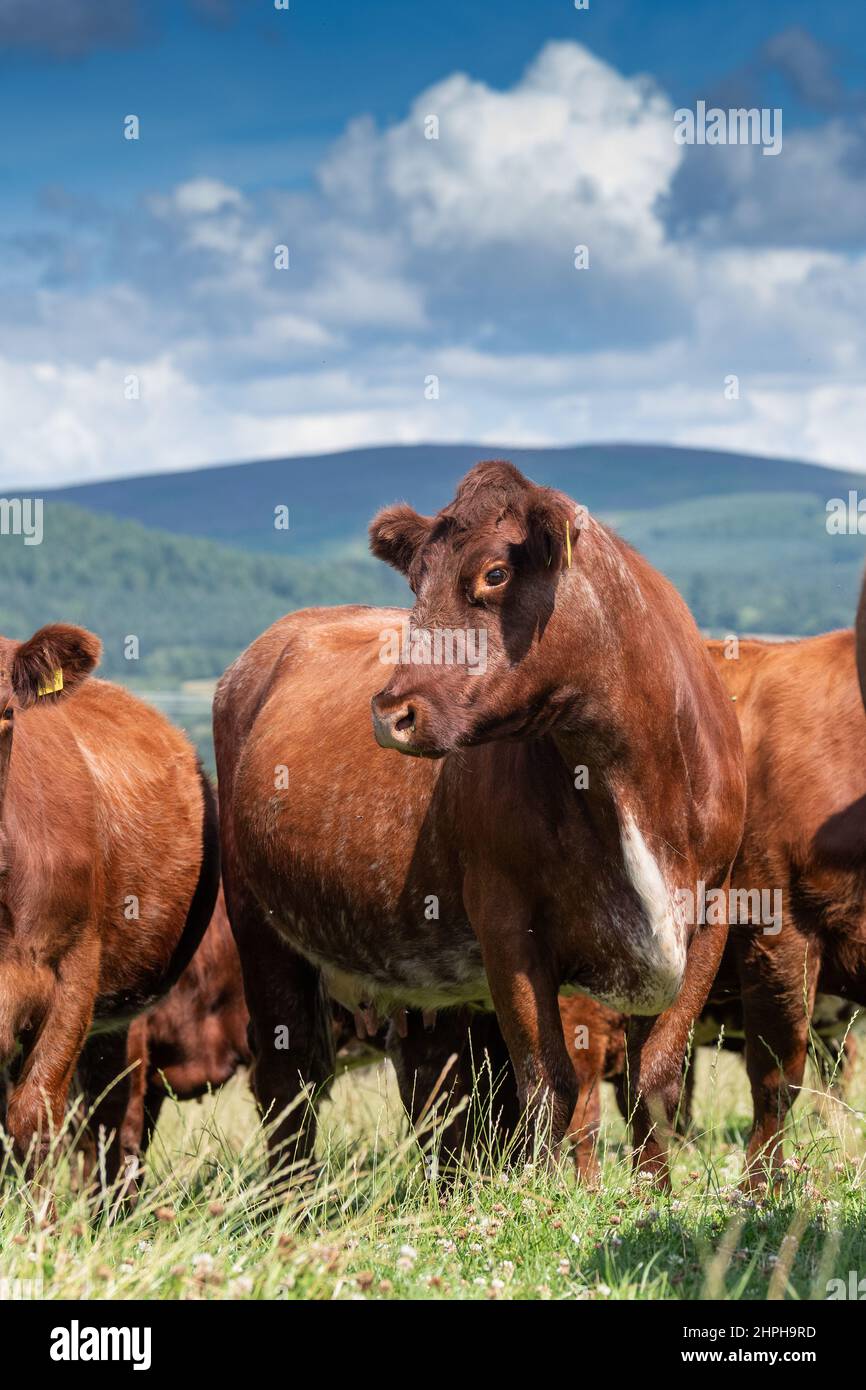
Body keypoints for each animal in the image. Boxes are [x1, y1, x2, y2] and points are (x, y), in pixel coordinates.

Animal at [214, 461, 745, 1184]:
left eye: (495, 573)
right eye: (417, 582)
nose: (390, 712)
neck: (632, 774)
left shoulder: (713, 909)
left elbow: (655, 1080)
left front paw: (654, 1191)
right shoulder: (507, 921)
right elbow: (549, 1082)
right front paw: (550, 1197)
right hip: (257, 921)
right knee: (288, 1079)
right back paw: (289, 1198)